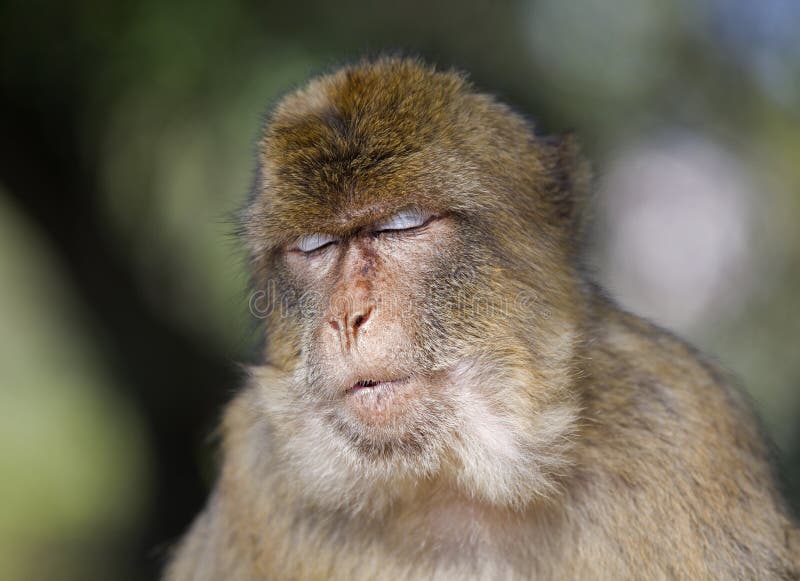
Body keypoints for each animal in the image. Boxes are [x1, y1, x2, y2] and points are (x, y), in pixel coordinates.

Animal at [164, 57, 799, 580]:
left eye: (402, 225)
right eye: (316, 246)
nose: (347, 318)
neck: (451, 483)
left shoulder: (688, 423)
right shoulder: (254, 470)